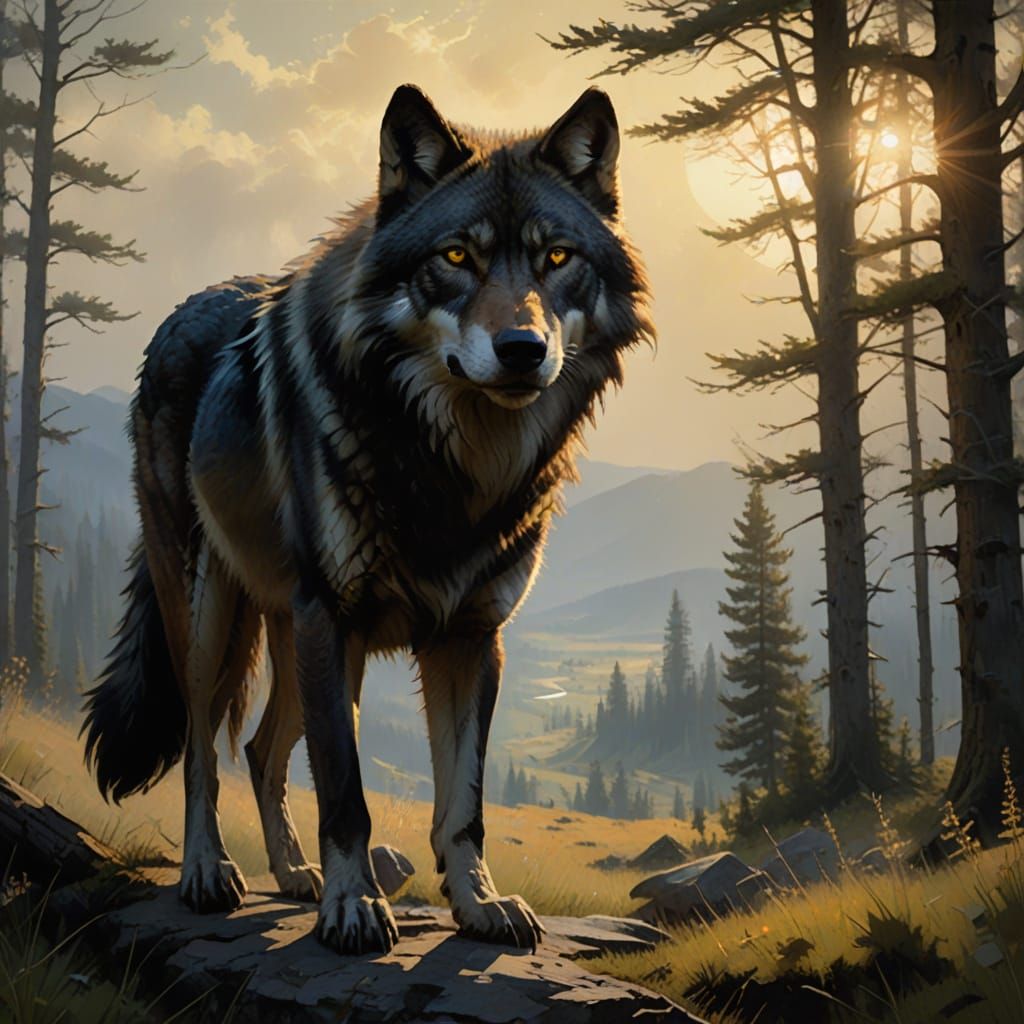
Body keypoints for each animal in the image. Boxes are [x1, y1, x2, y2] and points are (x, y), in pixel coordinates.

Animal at [82, 84, 653, 955]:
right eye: (456, 258)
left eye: (557, 259)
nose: (522, 349)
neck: (453, 469)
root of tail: (180, 311)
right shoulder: (334, 617)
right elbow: (346, 795)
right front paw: (353, 908)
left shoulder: (470, 637)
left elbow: (464, 803)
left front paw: (479, 905)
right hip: (215, 622)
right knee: (203, 749)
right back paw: (209, 873)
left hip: (295, 642)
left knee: (261, 751)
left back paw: (292, 875)